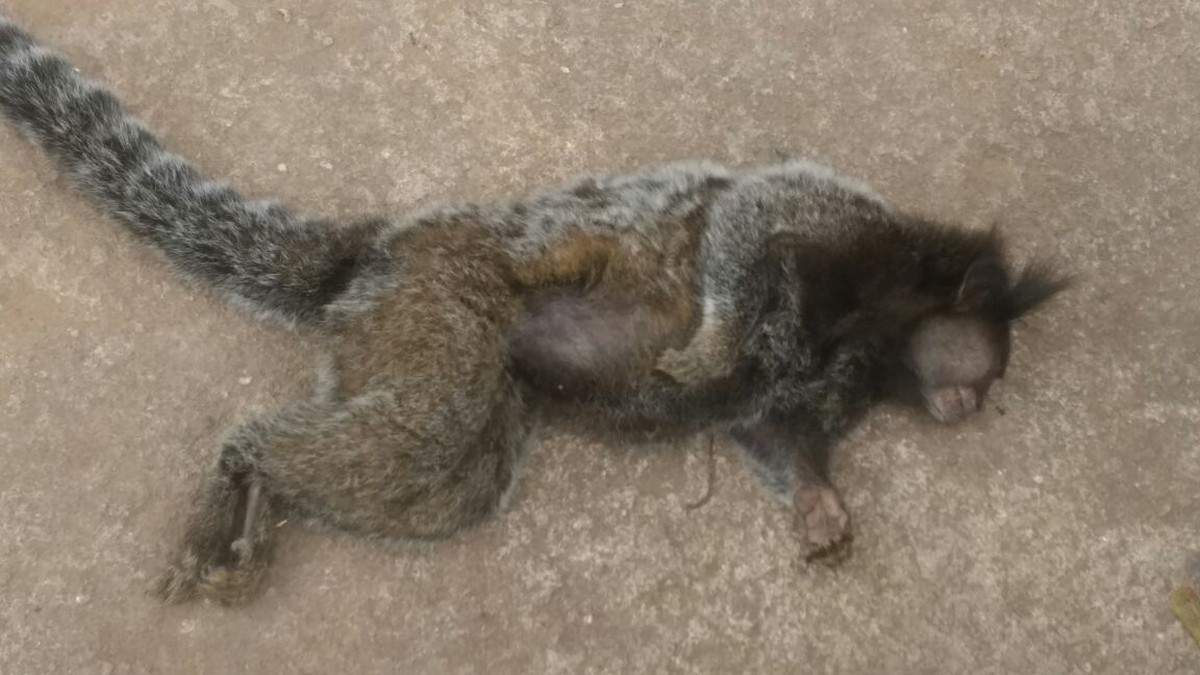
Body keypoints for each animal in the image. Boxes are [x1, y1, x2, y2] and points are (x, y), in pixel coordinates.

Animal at [0, 17, 1067, 605]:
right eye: (983, 372)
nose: (969, 406)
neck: (872, 329)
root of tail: (380, 246)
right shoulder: (837, 221)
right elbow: (745, 224)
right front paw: (710, 346)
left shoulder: (818, 391)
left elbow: (772, 433)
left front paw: (818, 504)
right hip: (439, 308)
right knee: (421, 435)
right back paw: (242, 465)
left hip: (413, 347)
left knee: (444, 480)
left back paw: (264, 508)